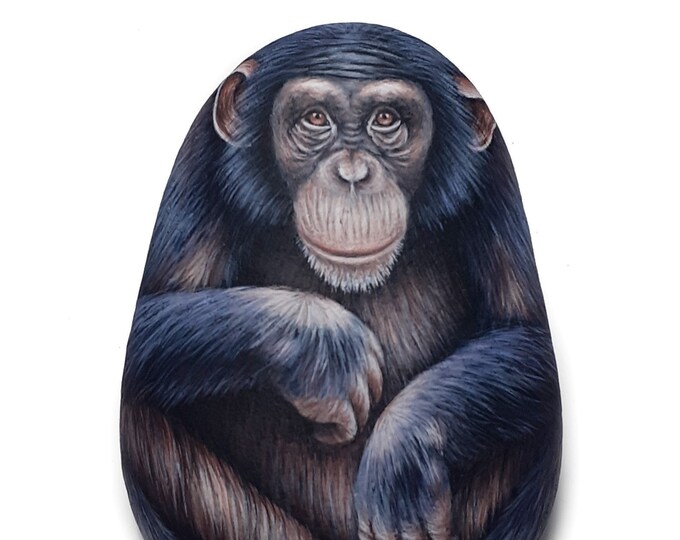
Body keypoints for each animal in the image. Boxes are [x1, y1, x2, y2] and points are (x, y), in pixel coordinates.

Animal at [121, 23, 561, 540]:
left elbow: (529, 332)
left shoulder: (496, 170)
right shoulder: (199, 158)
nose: (353, 174)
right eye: (315, 118)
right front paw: (321, 348)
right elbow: (146, 322)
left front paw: (403, 446)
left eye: (387, 119)